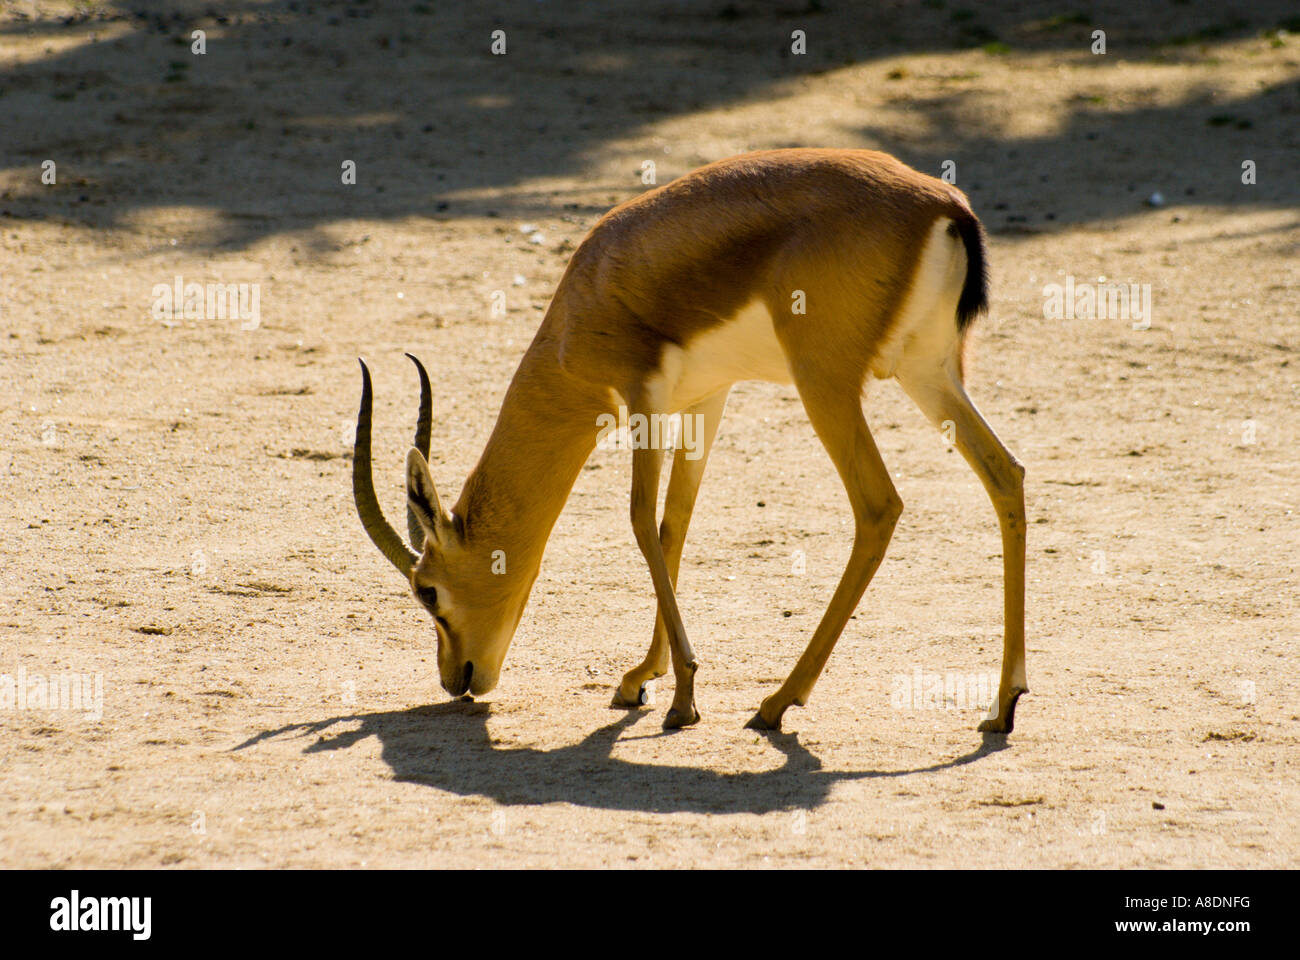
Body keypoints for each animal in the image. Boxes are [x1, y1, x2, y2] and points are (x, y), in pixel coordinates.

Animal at [352, 148, 1027, 733]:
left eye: (427, 590)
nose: (455, 680)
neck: (591, 290)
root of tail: (945, 204)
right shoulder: (706, 398)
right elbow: (675, 522)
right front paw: (640, 679)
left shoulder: (641, 398)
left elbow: (639, 520)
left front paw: (682, 698)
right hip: (927, 372)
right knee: (1005, 473)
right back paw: (1002, 706)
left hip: (826, 384)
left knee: (879, 505)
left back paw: (778, 701)